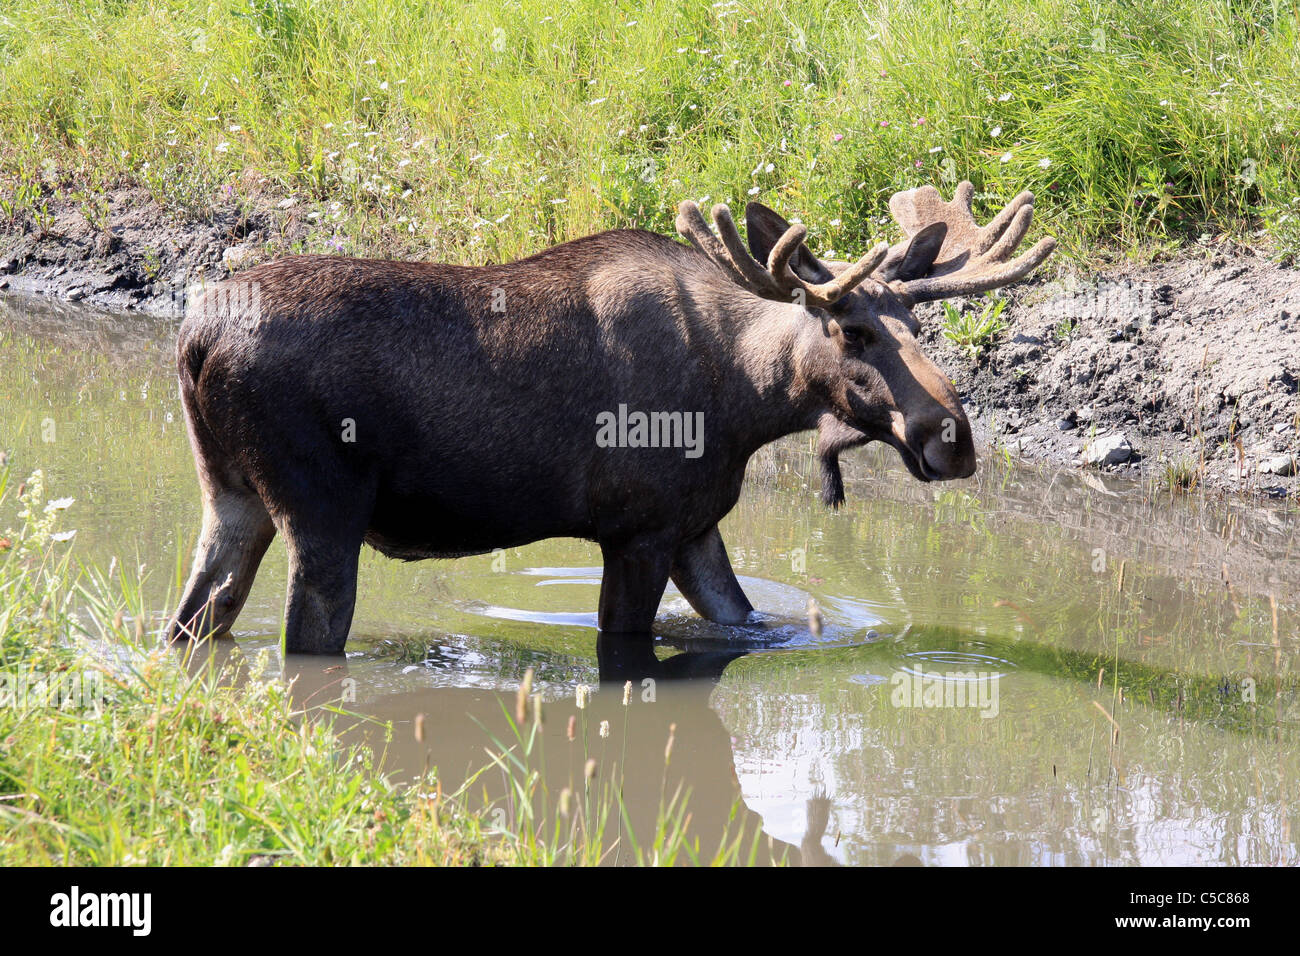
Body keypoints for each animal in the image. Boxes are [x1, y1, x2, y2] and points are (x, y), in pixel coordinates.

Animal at [169, 181, 1055, 654]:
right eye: (854, 331)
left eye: (919, 326)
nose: (954, 439)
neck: (746, 403)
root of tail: (194, 337)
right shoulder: (640, 530)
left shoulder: (695, 526)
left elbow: (744, 615)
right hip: (322, 508)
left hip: (230, 494)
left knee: (191, 623)